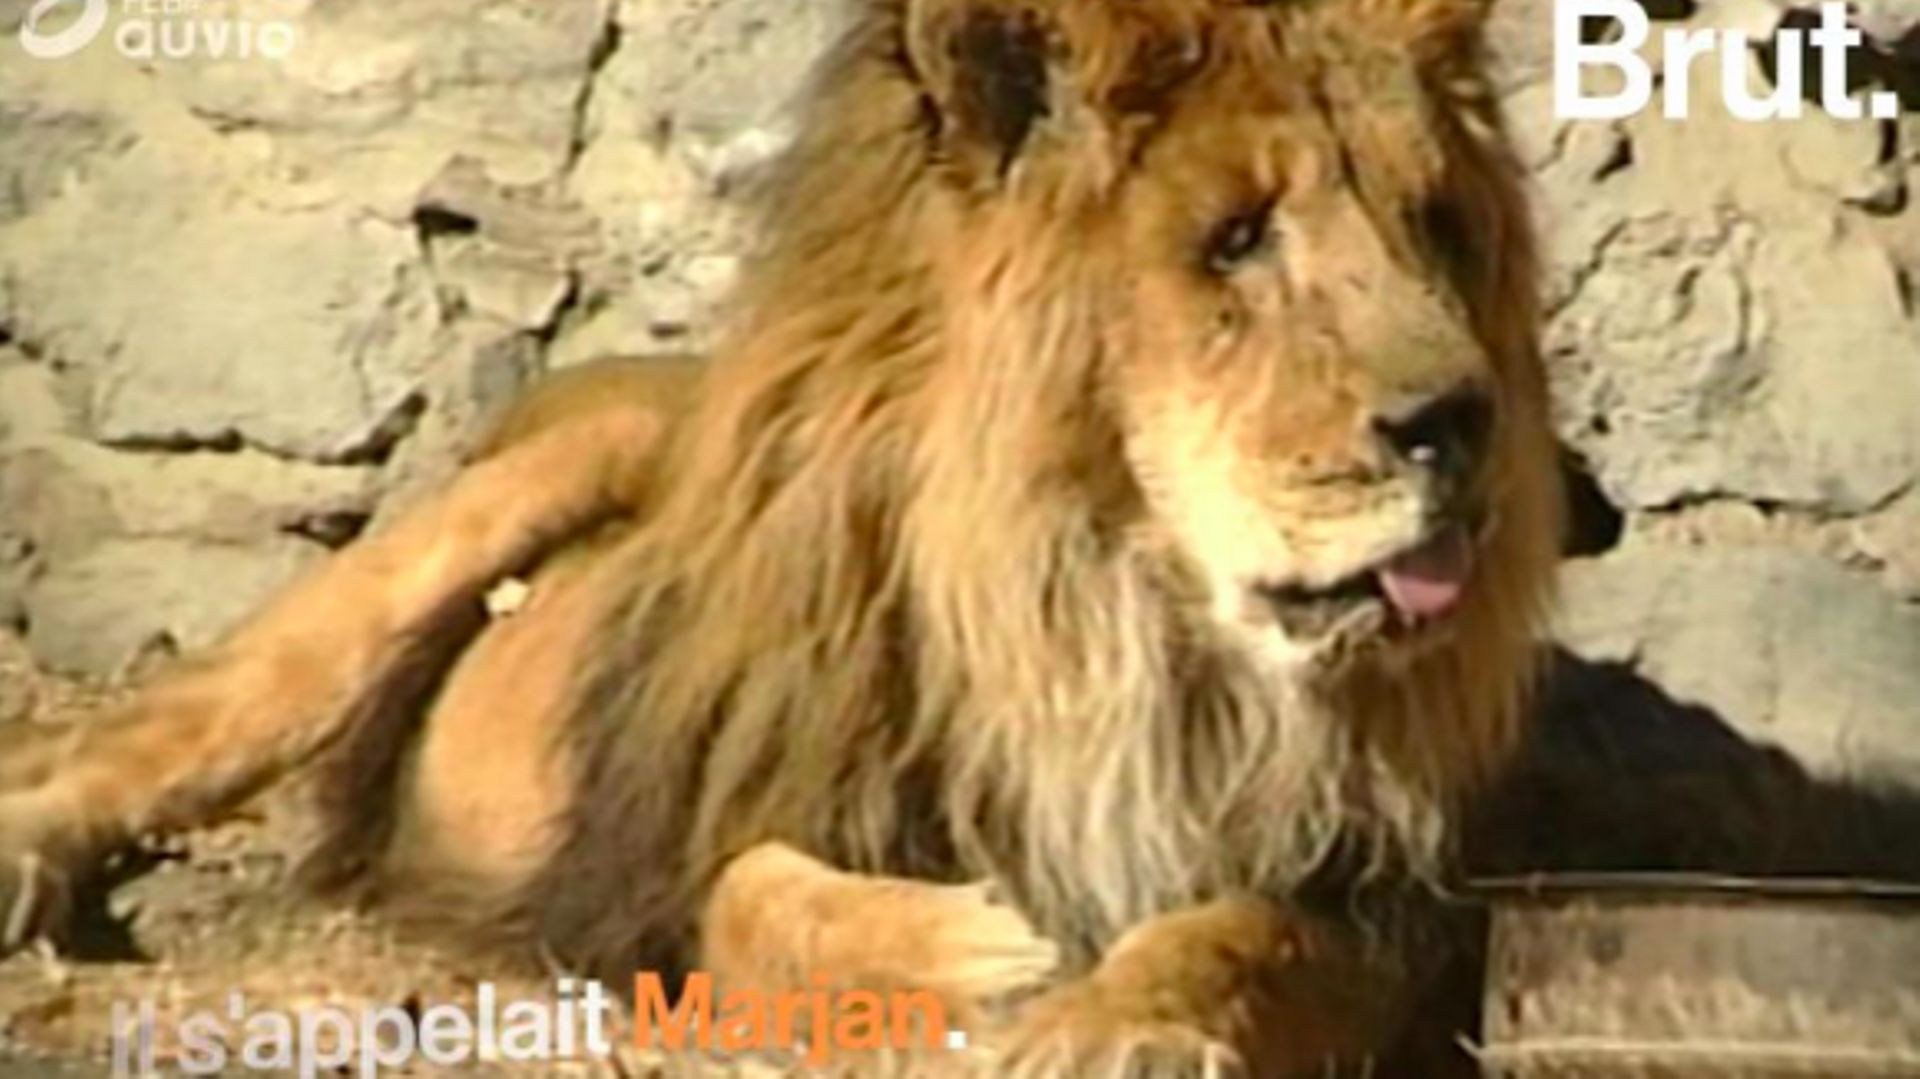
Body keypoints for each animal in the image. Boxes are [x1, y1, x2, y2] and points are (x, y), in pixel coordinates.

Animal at [0, 0, 1562, 1073]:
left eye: (1435, 227)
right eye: (1236, 238)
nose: (1462, 421)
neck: (1107, 623)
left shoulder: (1401, 899)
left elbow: (1247, 930)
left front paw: (1129, 1017)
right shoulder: (648, 866)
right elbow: (757, 894)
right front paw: (986, 955)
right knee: (156, 729)